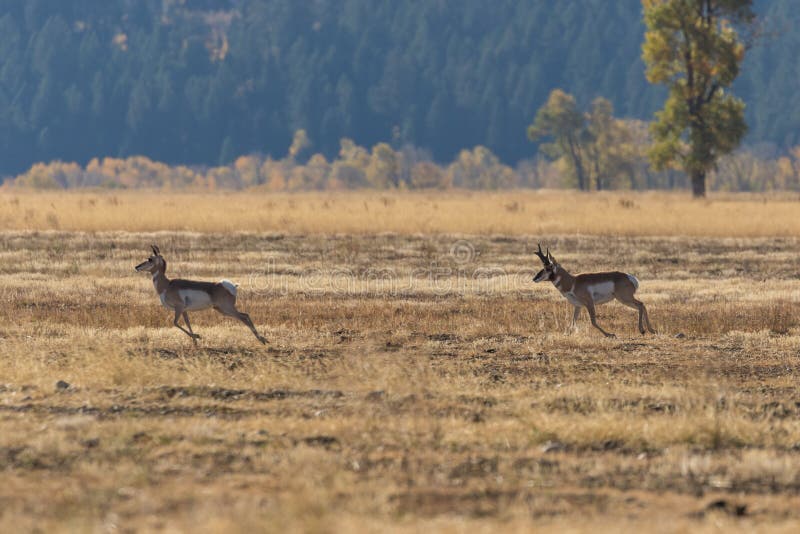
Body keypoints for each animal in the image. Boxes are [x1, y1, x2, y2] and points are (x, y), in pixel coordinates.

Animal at [135, 245, 267, 345]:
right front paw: (195, 340)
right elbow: (187, 323)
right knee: (245, 315)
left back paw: (262, 340)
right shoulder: (184, 310)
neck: (167, 285)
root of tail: (230, 285)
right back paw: (263, 339)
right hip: (222, 310)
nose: (136, 267)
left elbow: (175, 323)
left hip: (227, 308)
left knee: (244, 317)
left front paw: (197, 336)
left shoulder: (179, 308)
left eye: (150, 259)